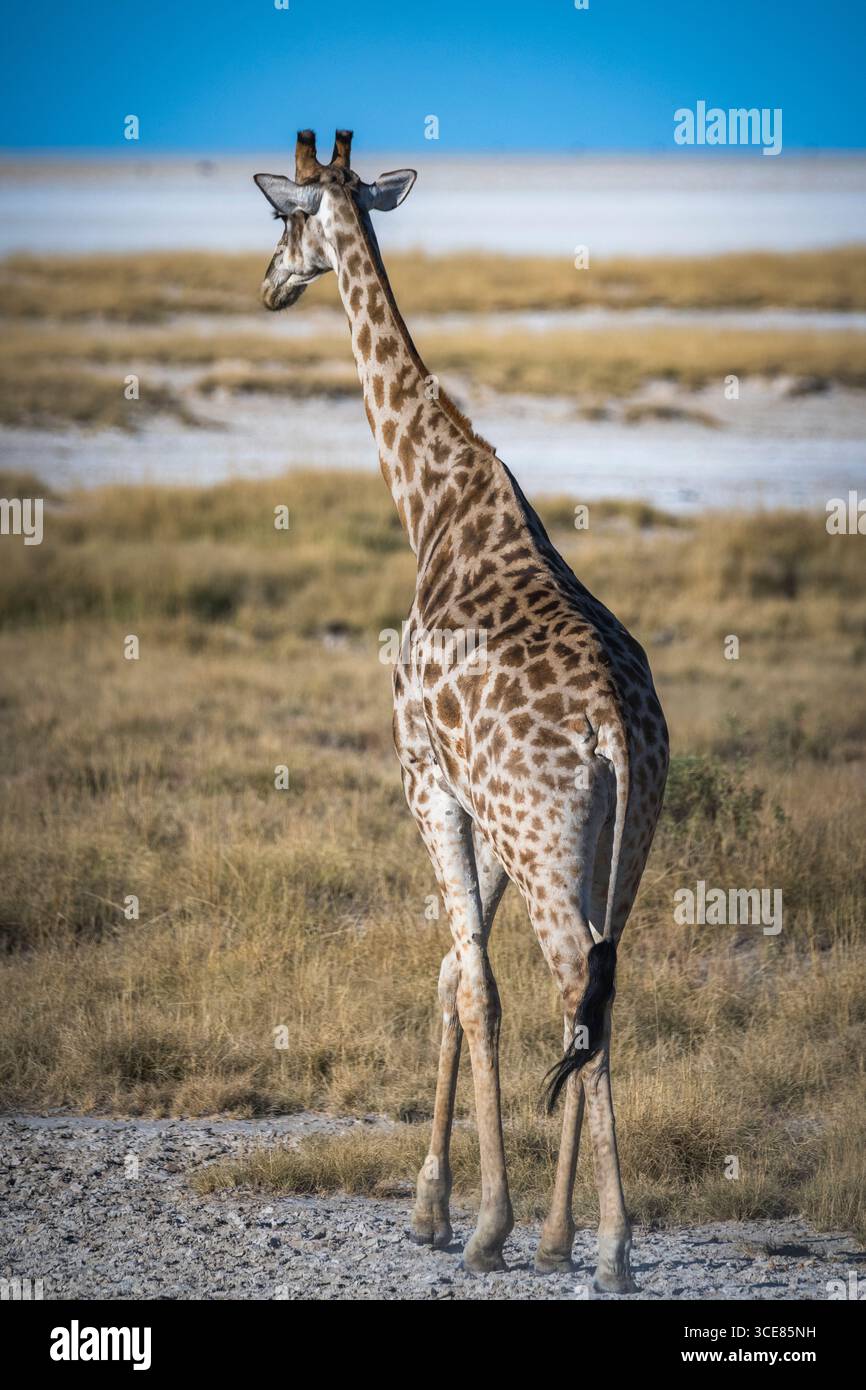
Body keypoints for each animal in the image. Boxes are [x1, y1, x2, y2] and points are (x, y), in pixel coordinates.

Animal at [254, 131, 669, 1291]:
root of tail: (612, 728)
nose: (267, 286)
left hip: (543, 831)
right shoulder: (484, 808)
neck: (428, 501)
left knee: (571, 982)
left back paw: (611, 1247)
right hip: (617, 840)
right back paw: (575, 1236)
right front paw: (451, 1209)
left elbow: (473, 984)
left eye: (281, 217)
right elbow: (451, 974)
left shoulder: (424, 777)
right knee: (603, 988)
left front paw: (477, 1220)